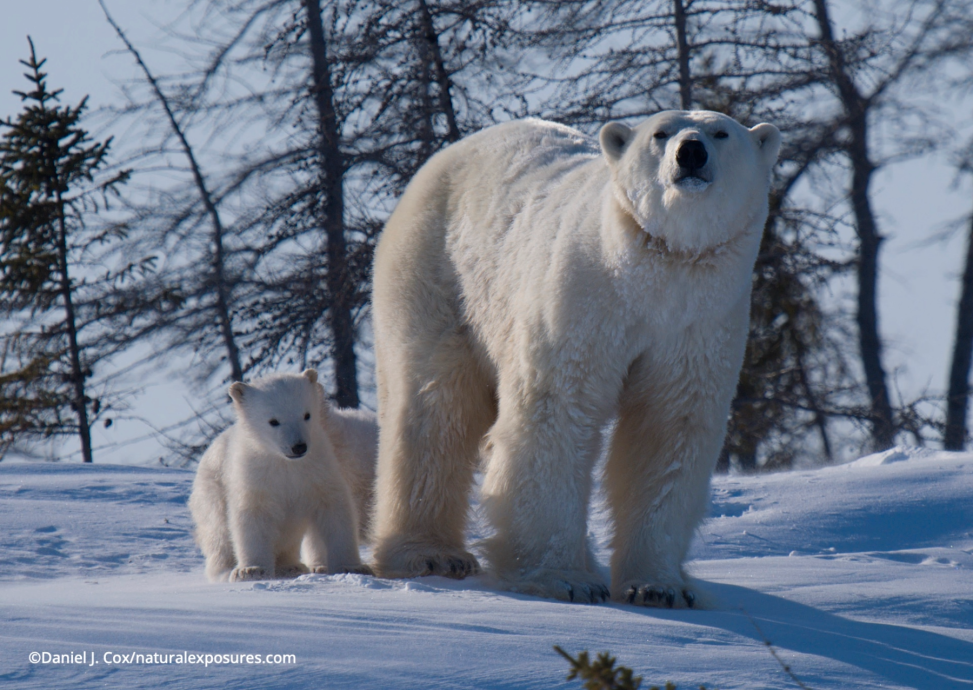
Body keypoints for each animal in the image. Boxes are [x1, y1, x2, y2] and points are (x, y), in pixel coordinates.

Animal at [188, 369, 371, 582]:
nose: (298, 446)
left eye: (306, 415)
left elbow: (334, 511)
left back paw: (290, 566)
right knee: (219, 533)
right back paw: (226, 570)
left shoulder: (319, 472)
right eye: (273, 421)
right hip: (212, 491)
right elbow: (252, 515)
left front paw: (352, 567)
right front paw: (252, 570)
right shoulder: (254, 476)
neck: (287, 464)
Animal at [368, 110, 780, 607]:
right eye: (660, 133)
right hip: (438, 276)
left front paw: (658, 586)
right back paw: (430, 555)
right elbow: (558, 411)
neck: (652, 278)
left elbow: (668, 431)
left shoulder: (698, 325)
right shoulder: (585, 299)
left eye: (721, 133)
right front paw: (564, 579)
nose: (691, 153)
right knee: (437, 405)